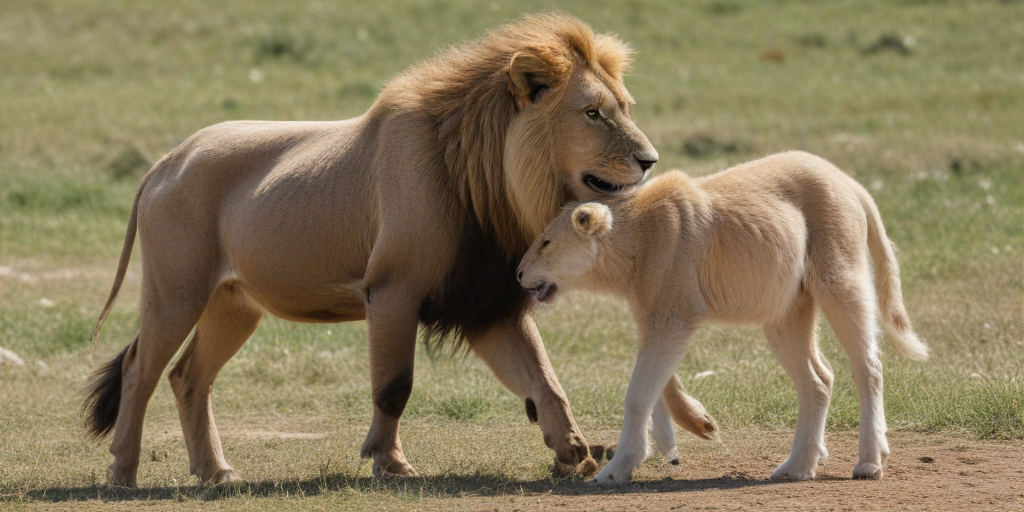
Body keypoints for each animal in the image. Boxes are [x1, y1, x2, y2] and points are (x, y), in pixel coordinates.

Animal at [80, 13, 692, 487]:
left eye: (625, 106)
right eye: (592, 113)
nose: (650, 160)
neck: (483, 179)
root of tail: (166, 160)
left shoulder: (488, 306)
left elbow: (545, 383)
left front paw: (574, 453)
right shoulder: (393, 290)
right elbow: (395, 387)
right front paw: (390, 463)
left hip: (233, 304)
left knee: (189, 378)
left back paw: (217, 474)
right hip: (176, 293)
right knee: (139, 371)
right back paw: (123, 474)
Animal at [517, 151, 929, 484]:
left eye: (547, 242)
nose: (519, 275)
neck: (638, 234)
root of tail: (854, 187)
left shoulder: (674, 299)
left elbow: (638, 391)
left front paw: (614, 471)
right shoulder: (648, 303)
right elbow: (651, 383)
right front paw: (678, 441)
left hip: (838, 261)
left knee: (866, 362)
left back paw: (868, 463)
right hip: (786, 303)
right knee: (817, 377)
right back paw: (797, 467)